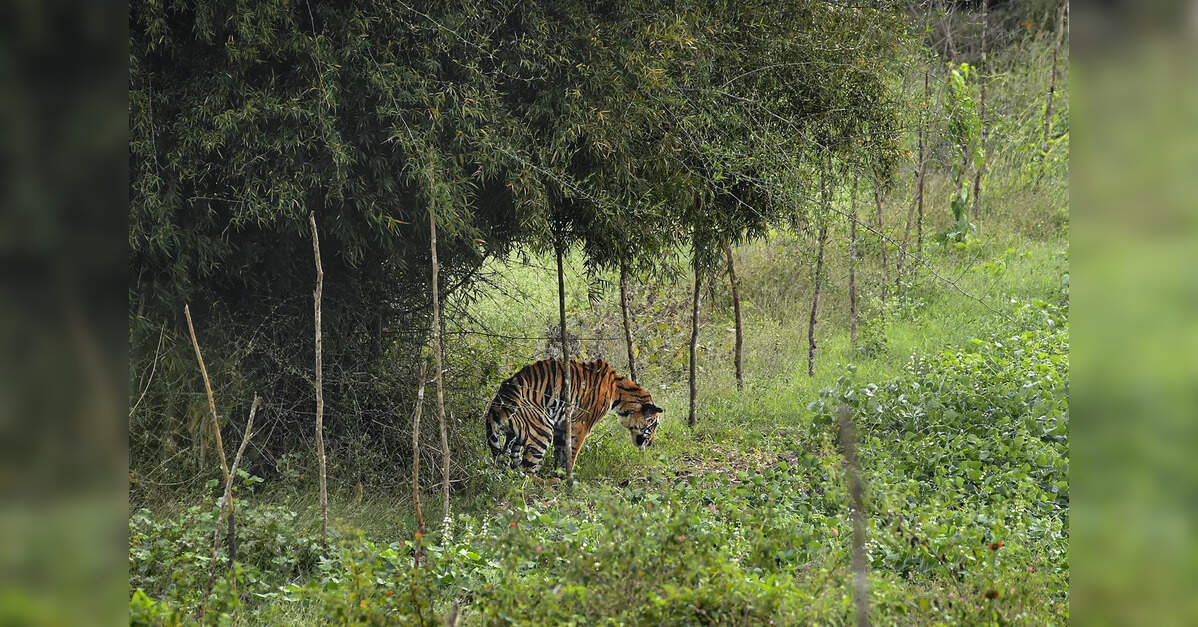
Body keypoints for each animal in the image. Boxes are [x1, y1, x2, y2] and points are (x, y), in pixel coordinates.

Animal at [484, 358, 663, 477]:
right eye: (653, 425)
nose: (651, 443)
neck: (618, 391)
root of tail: (497, 403)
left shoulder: (561, 426)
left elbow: (560, 452)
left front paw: (558, 472)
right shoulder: (580, 424)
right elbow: (572, 452)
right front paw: (567, 477)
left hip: (515, 437)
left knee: (514, 467)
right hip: (542, 429)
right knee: (527, 472)